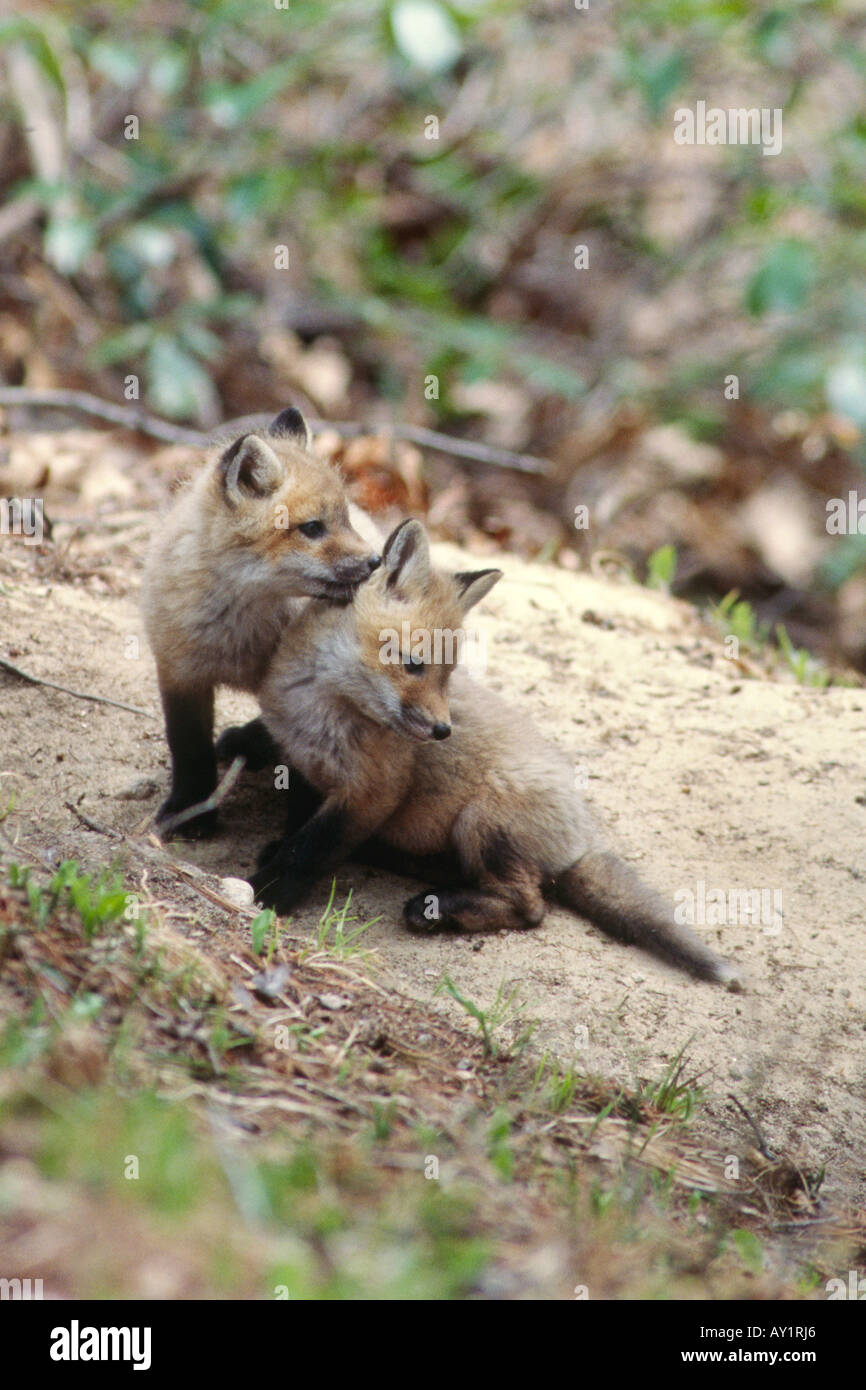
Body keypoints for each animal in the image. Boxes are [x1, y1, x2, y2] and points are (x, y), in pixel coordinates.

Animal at [141, 406, 381, 836]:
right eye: (313, 528)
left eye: (345, 519)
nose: (375, 561)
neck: (241, 628)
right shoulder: (179, 672)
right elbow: (188, 748)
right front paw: (190, 810)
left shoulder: (306, 696)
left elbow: (307, 777)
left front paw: (294, 837)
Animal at [226, 519, 743, 988]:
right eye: (414, 664)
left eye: (449, 674)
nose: (442, 730)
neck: (320, 705)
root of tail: (579, 842)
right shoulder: (304, 764)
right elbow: (300, 826)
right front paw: (275, 850)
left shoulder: (373, 791)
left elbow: (313, 848)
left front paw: (270, 891)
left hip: (482, 820)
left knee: (531, 907)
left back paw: (438, 910)